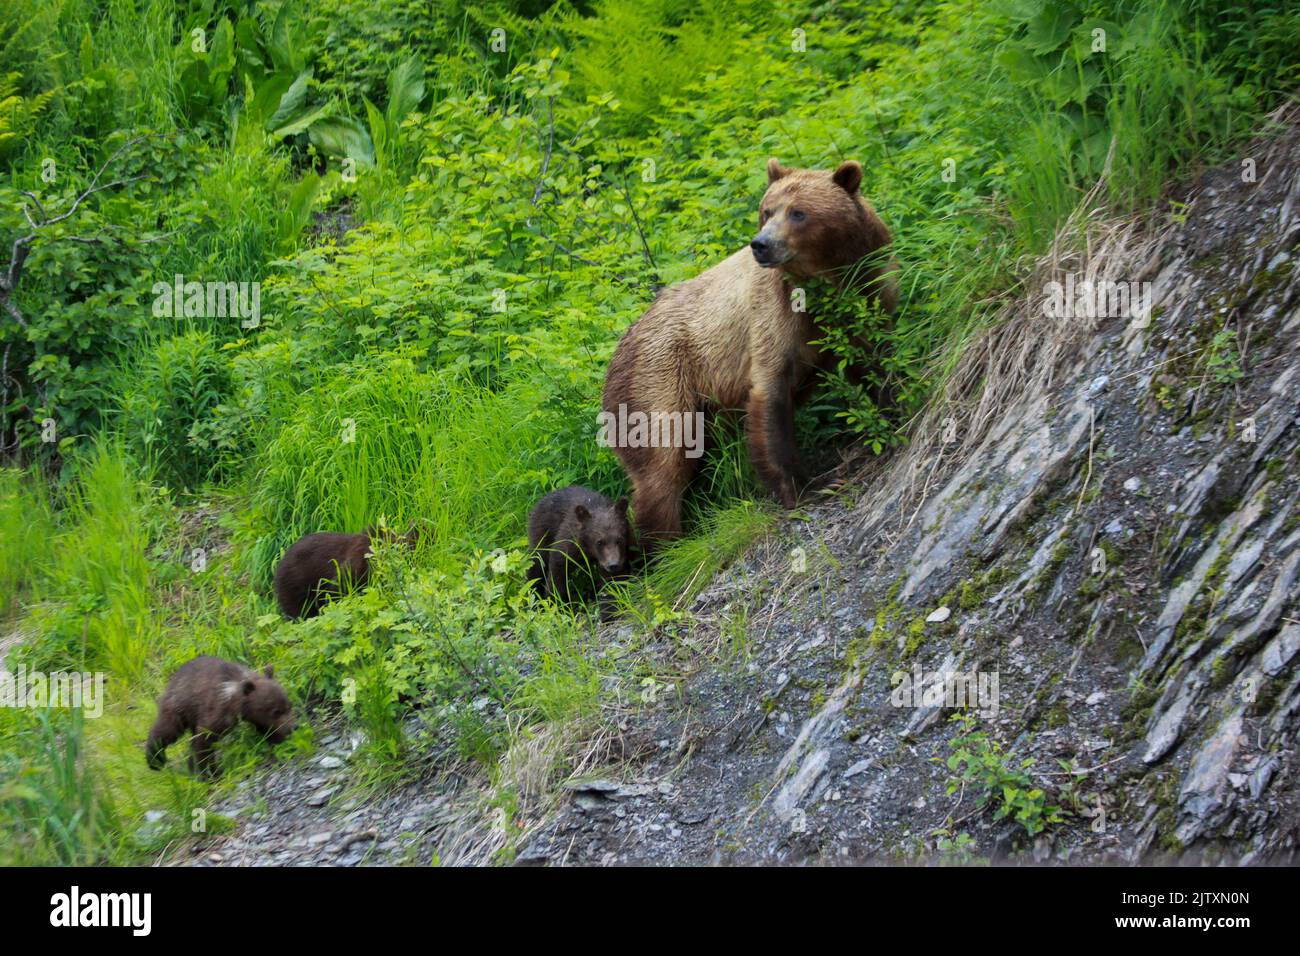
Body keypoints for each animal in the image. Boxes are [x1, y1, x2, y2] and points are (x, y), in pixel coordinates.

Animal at [146, 656, 296, 779]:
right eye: (276, 711)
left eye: (289, 705)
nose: (294, 726)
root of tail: (174, 677)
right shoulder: (217, 711)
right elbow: (205, 739)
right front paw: (209, 772)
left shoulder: (257, 718)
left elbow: (268, 729)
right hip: (180, 705)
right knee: (167, 729)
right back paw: (155, 760)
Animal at [601, 157, 897, 545]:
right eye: (767, 210)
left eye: (798, 212)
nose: (762, 244)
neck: (827, 279)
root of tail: (618, 349)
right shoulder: (774, 313)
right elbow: (770, 395)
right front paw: (803, 488)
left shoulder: (868, 283)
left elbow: (874, 357)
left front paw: (892, 413)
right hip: (657, 376)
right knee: (665, 458)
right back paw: (668, 542)